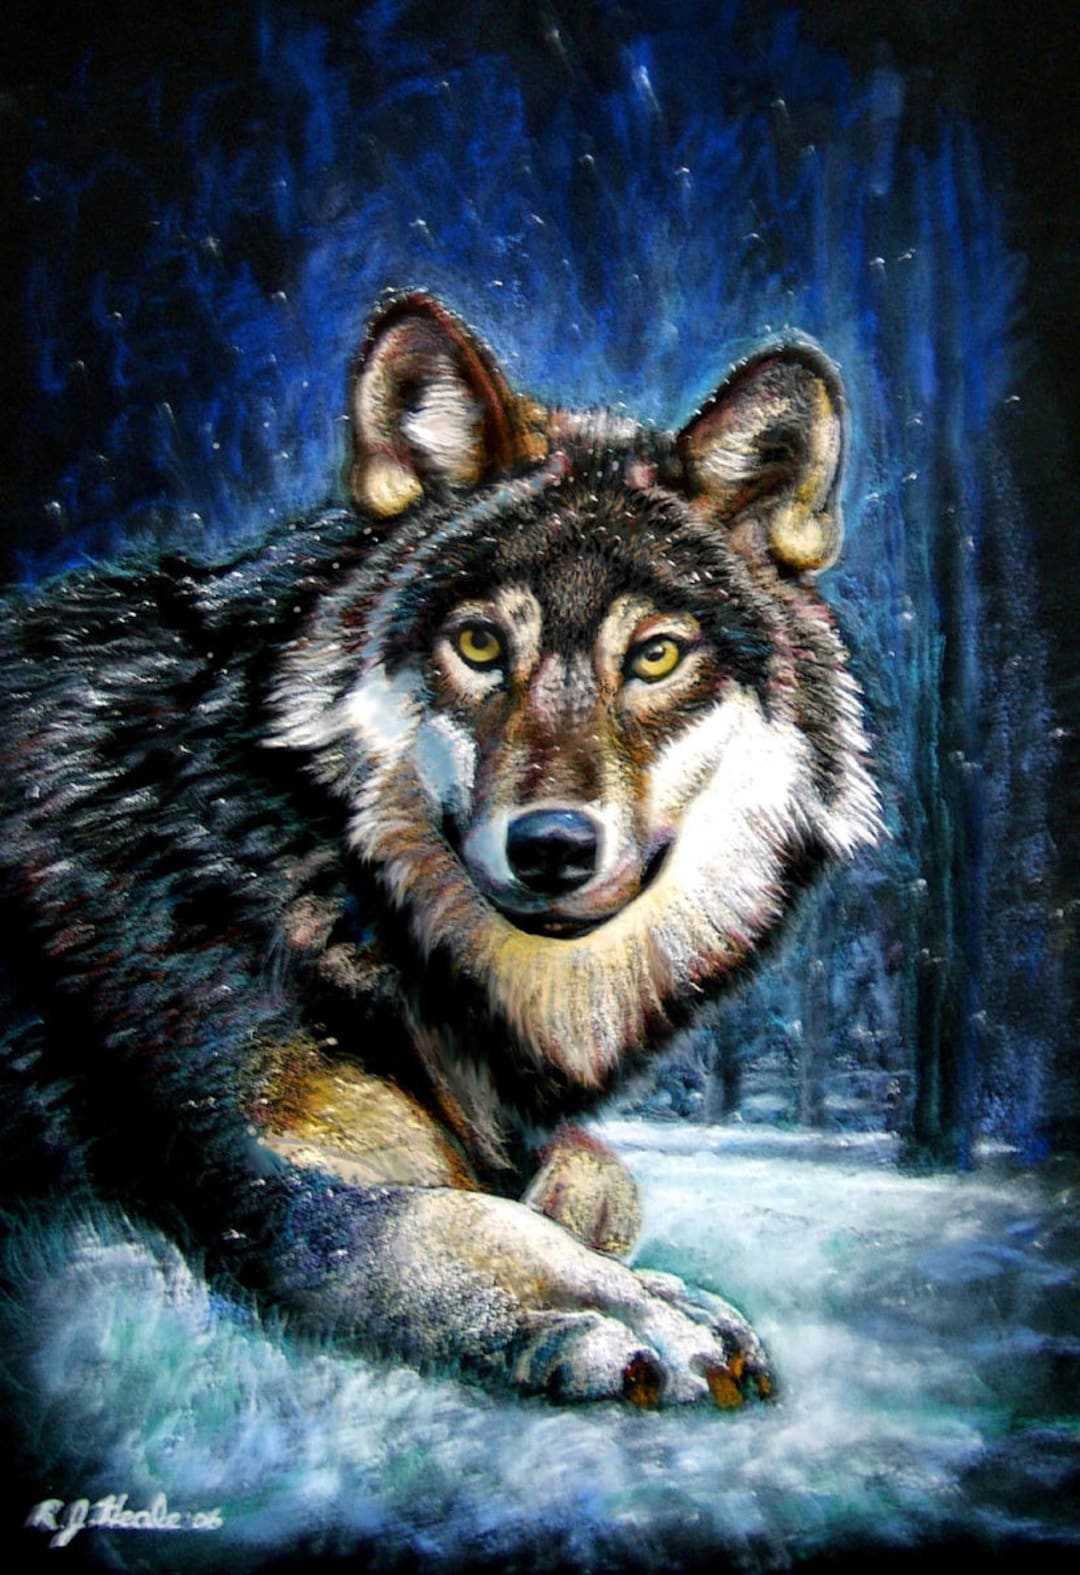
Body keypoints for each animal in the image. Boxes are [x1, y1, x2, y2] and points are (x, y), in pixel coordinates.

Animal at [0, 294, 878, 1408]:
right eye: (479, 645)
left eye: (655, 655)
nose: (552, 846)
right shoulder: (268, 1186)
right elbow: (466, 1218)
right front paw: (633, 1314)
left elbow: (593, 1180)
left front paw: (656, 1285)